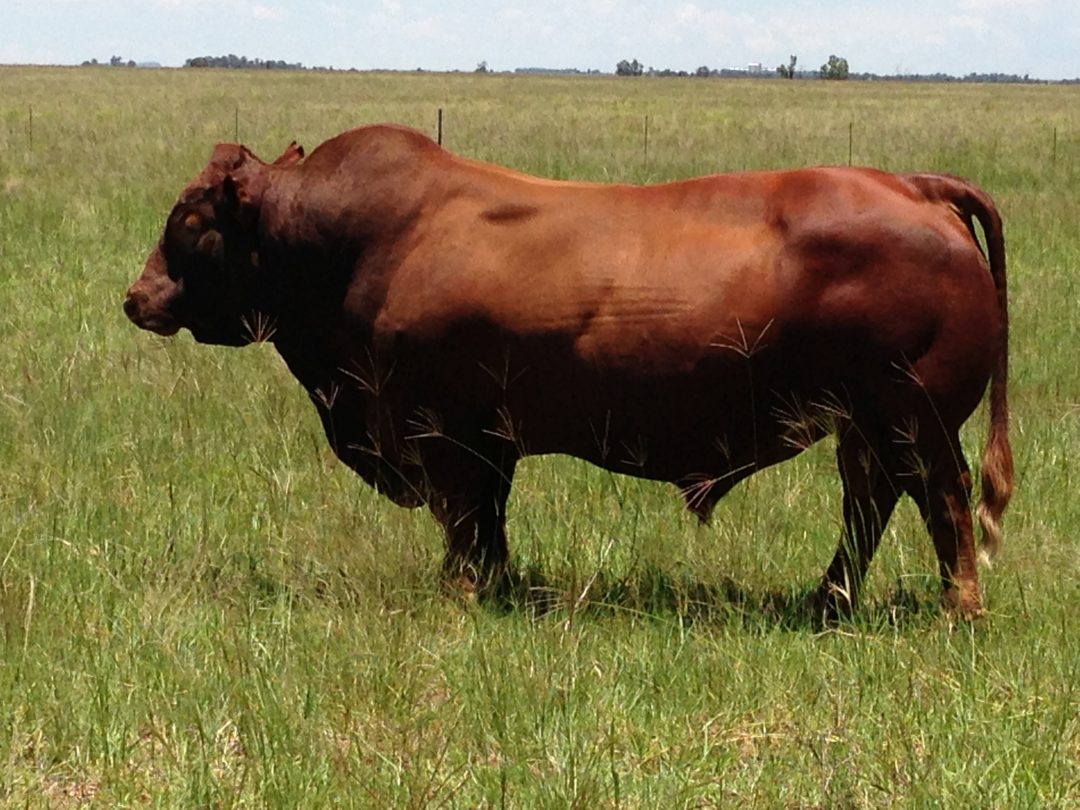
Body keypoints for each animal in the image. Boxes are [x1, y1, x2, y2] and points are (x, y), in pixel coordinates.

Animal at [124, 124, 1013, 618]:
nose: (136, 297)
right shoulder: (488, 440)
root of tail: (913, 185)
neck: (369, 241)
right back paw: (827, 602)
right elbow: (488, 526)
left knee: (943, 503)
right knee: (869, 507)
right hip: (865, 424)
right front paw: (495, 588)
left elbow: (465, 523)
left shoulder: (441, 432)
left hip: (914, 417)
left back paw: (956, 609)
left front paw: (461, 597)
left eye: (190, 220)